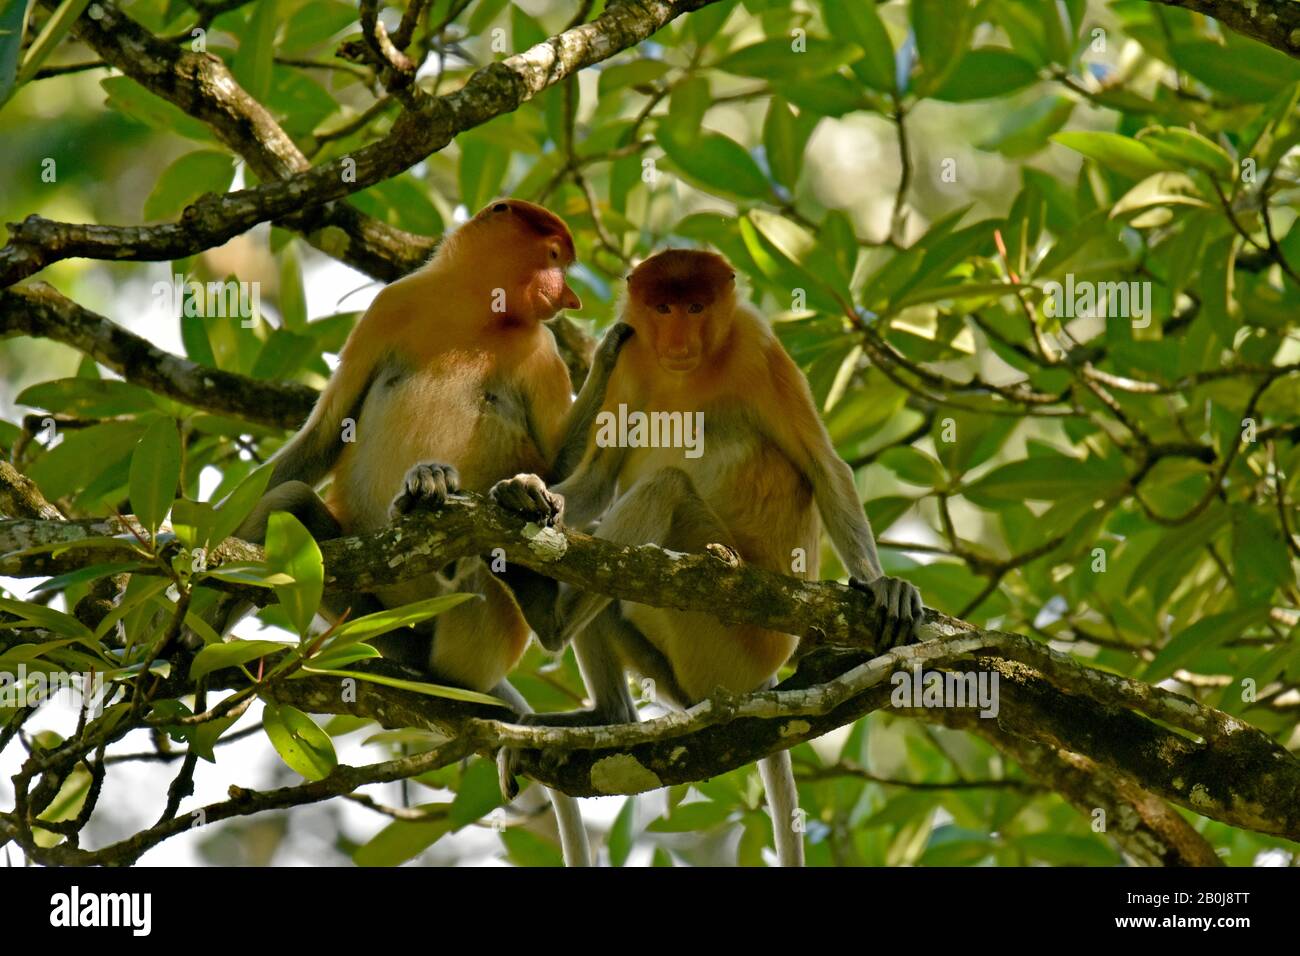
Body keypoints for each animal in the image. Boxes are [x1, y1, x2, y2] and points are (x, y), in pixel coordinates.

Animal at [220, 199, 633, 867]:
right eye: (553, 256)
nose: (566, 295)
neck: (472, 314)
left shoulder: (539, 350)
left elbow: (558, 473)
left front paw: (609, 359)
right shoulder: (392, 305)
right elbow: (321, 437)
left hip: (475, 638)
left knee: (499, 558)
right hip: (372, 620)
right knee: (289, 503)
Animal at [499, 249, 923, 867]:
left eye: (697, 307)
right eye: (664, 308)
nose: (678, 341)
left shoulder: (758, 347)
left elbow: (824, 467)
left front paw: (881, 585)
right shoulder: (633, 359)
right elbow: (597, 478)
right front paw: (524, 490)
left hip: (732, 634)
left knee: (668, 488)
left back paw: (551, 623)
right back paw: (606, 713)